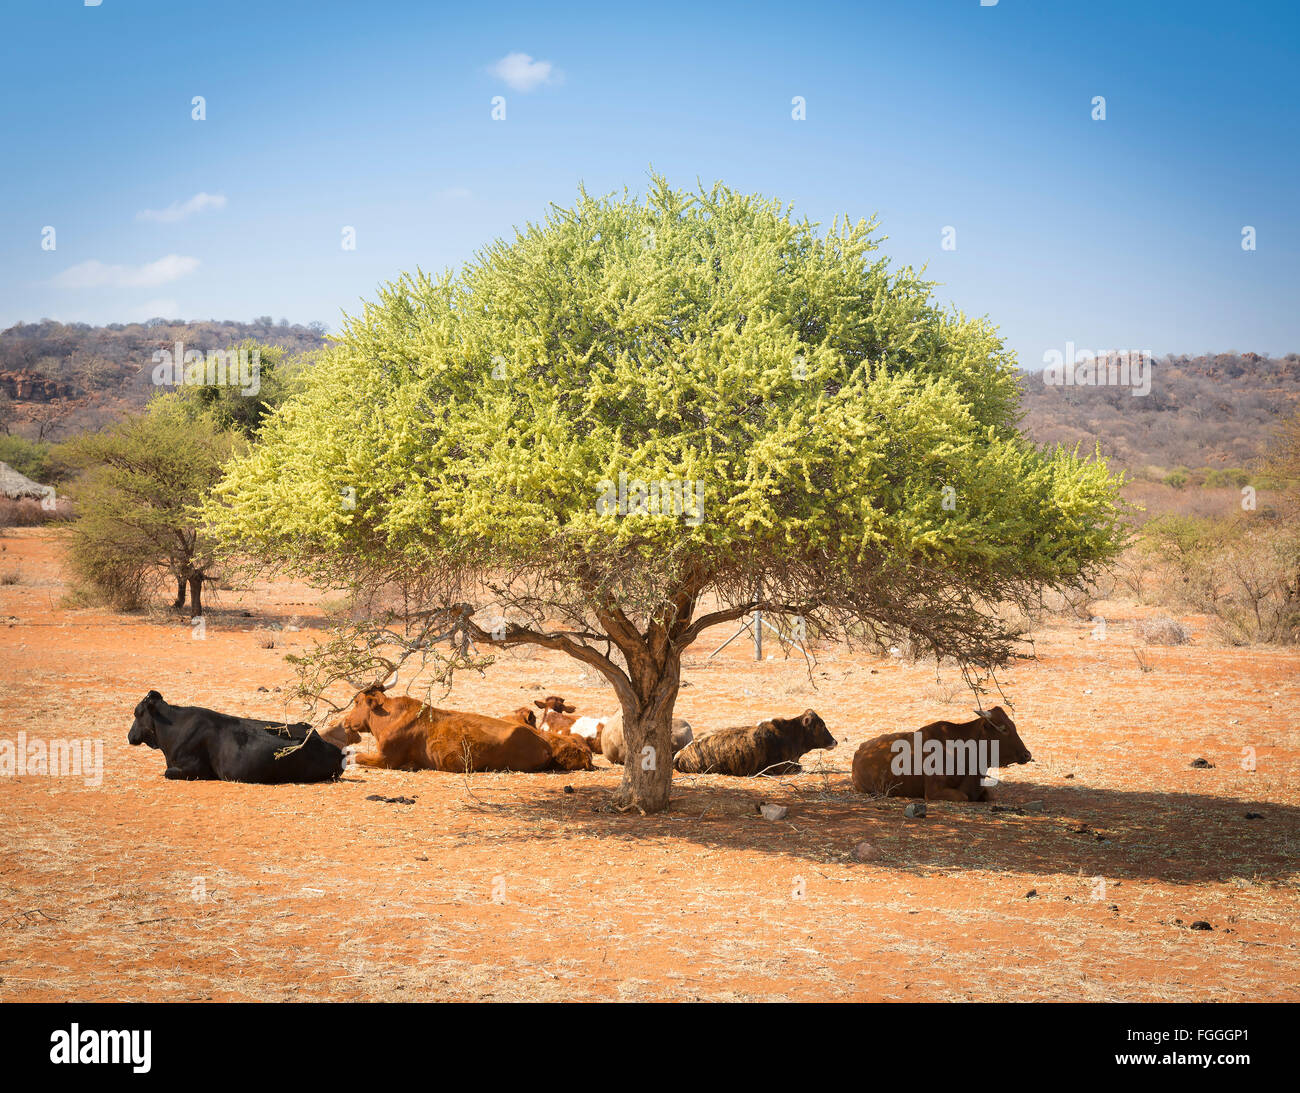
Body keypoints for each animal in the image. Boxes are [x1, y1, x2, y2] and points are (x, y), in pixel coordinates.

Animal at [341, 686, 580, 772]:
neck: (391, 717)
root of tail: (543, 743)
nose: (345, 721)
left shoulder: (387, 758)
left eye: (357, 702)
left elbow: (356, 755)